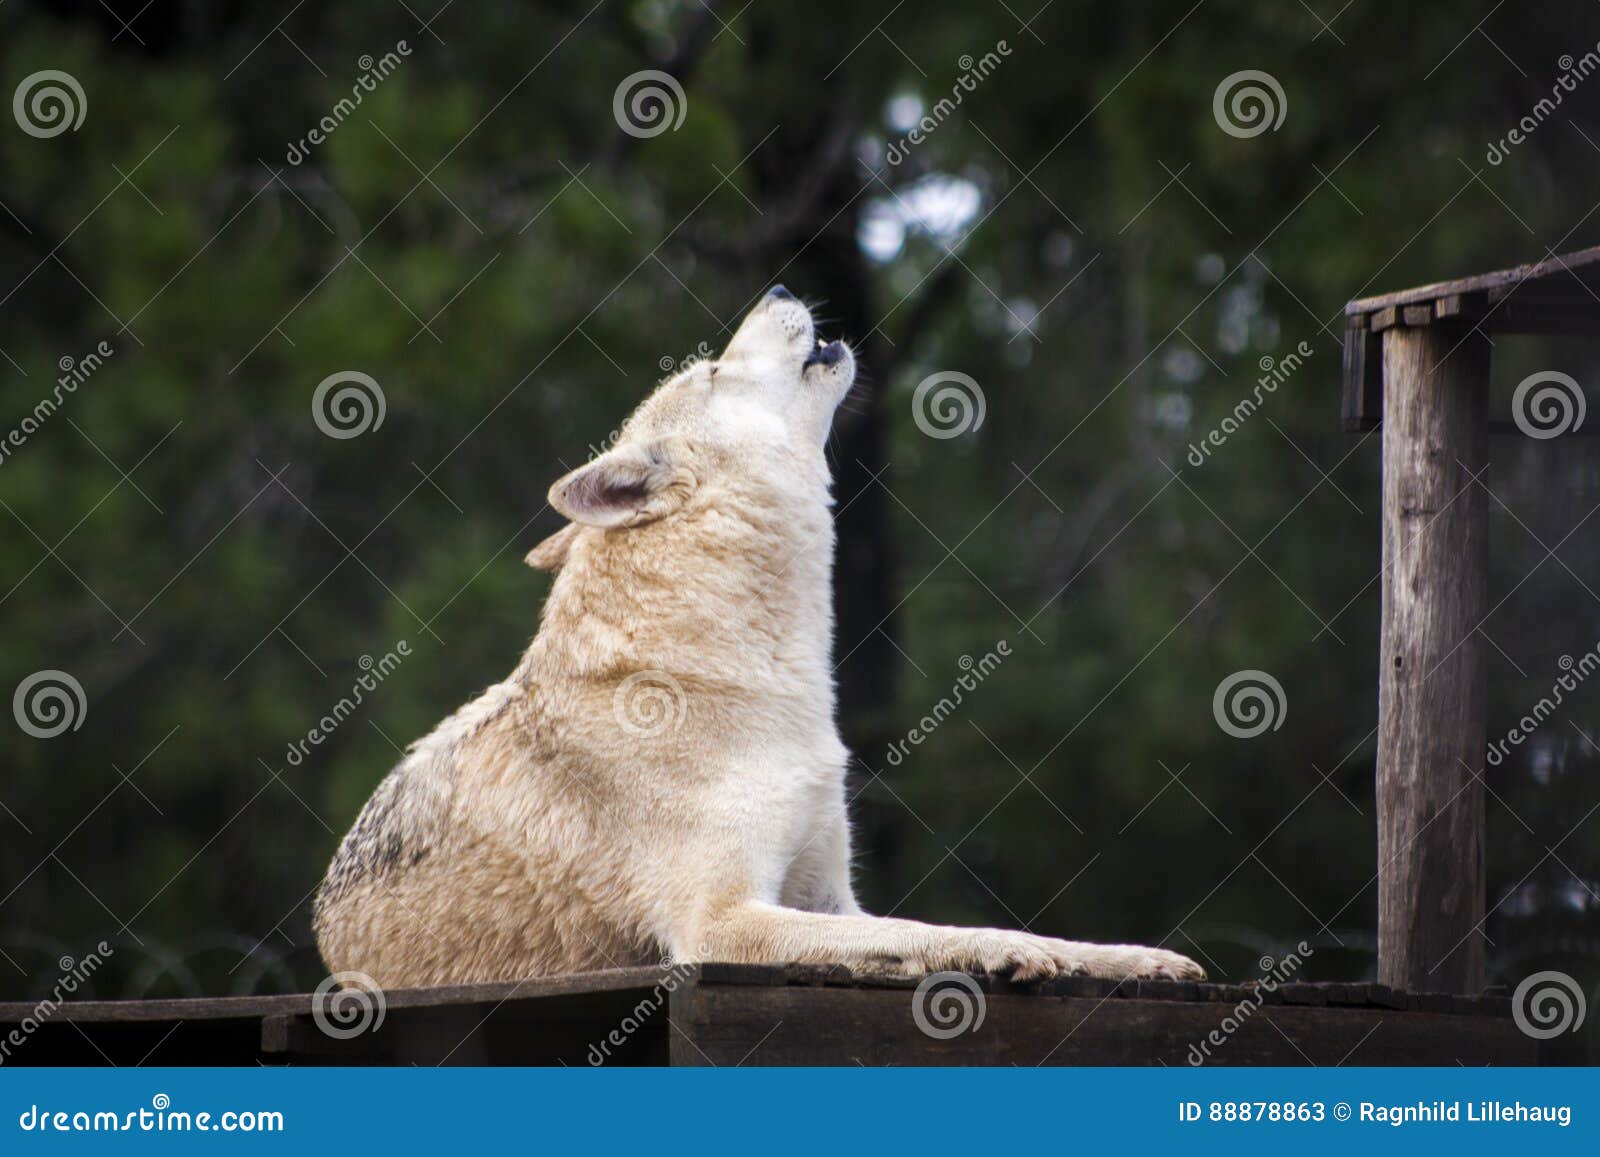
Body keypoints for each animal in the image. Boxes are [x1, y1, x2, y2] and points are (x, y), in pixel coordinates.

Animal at [312, 289, 1204, 987]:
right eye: (711, 371)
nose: (779, 284)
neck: (756, 682)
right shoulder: (719, 921)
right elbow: (927, 932)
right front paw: (1002, 951)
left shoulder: (830, 892)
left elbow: (996, 929)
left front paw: (1138, 958)